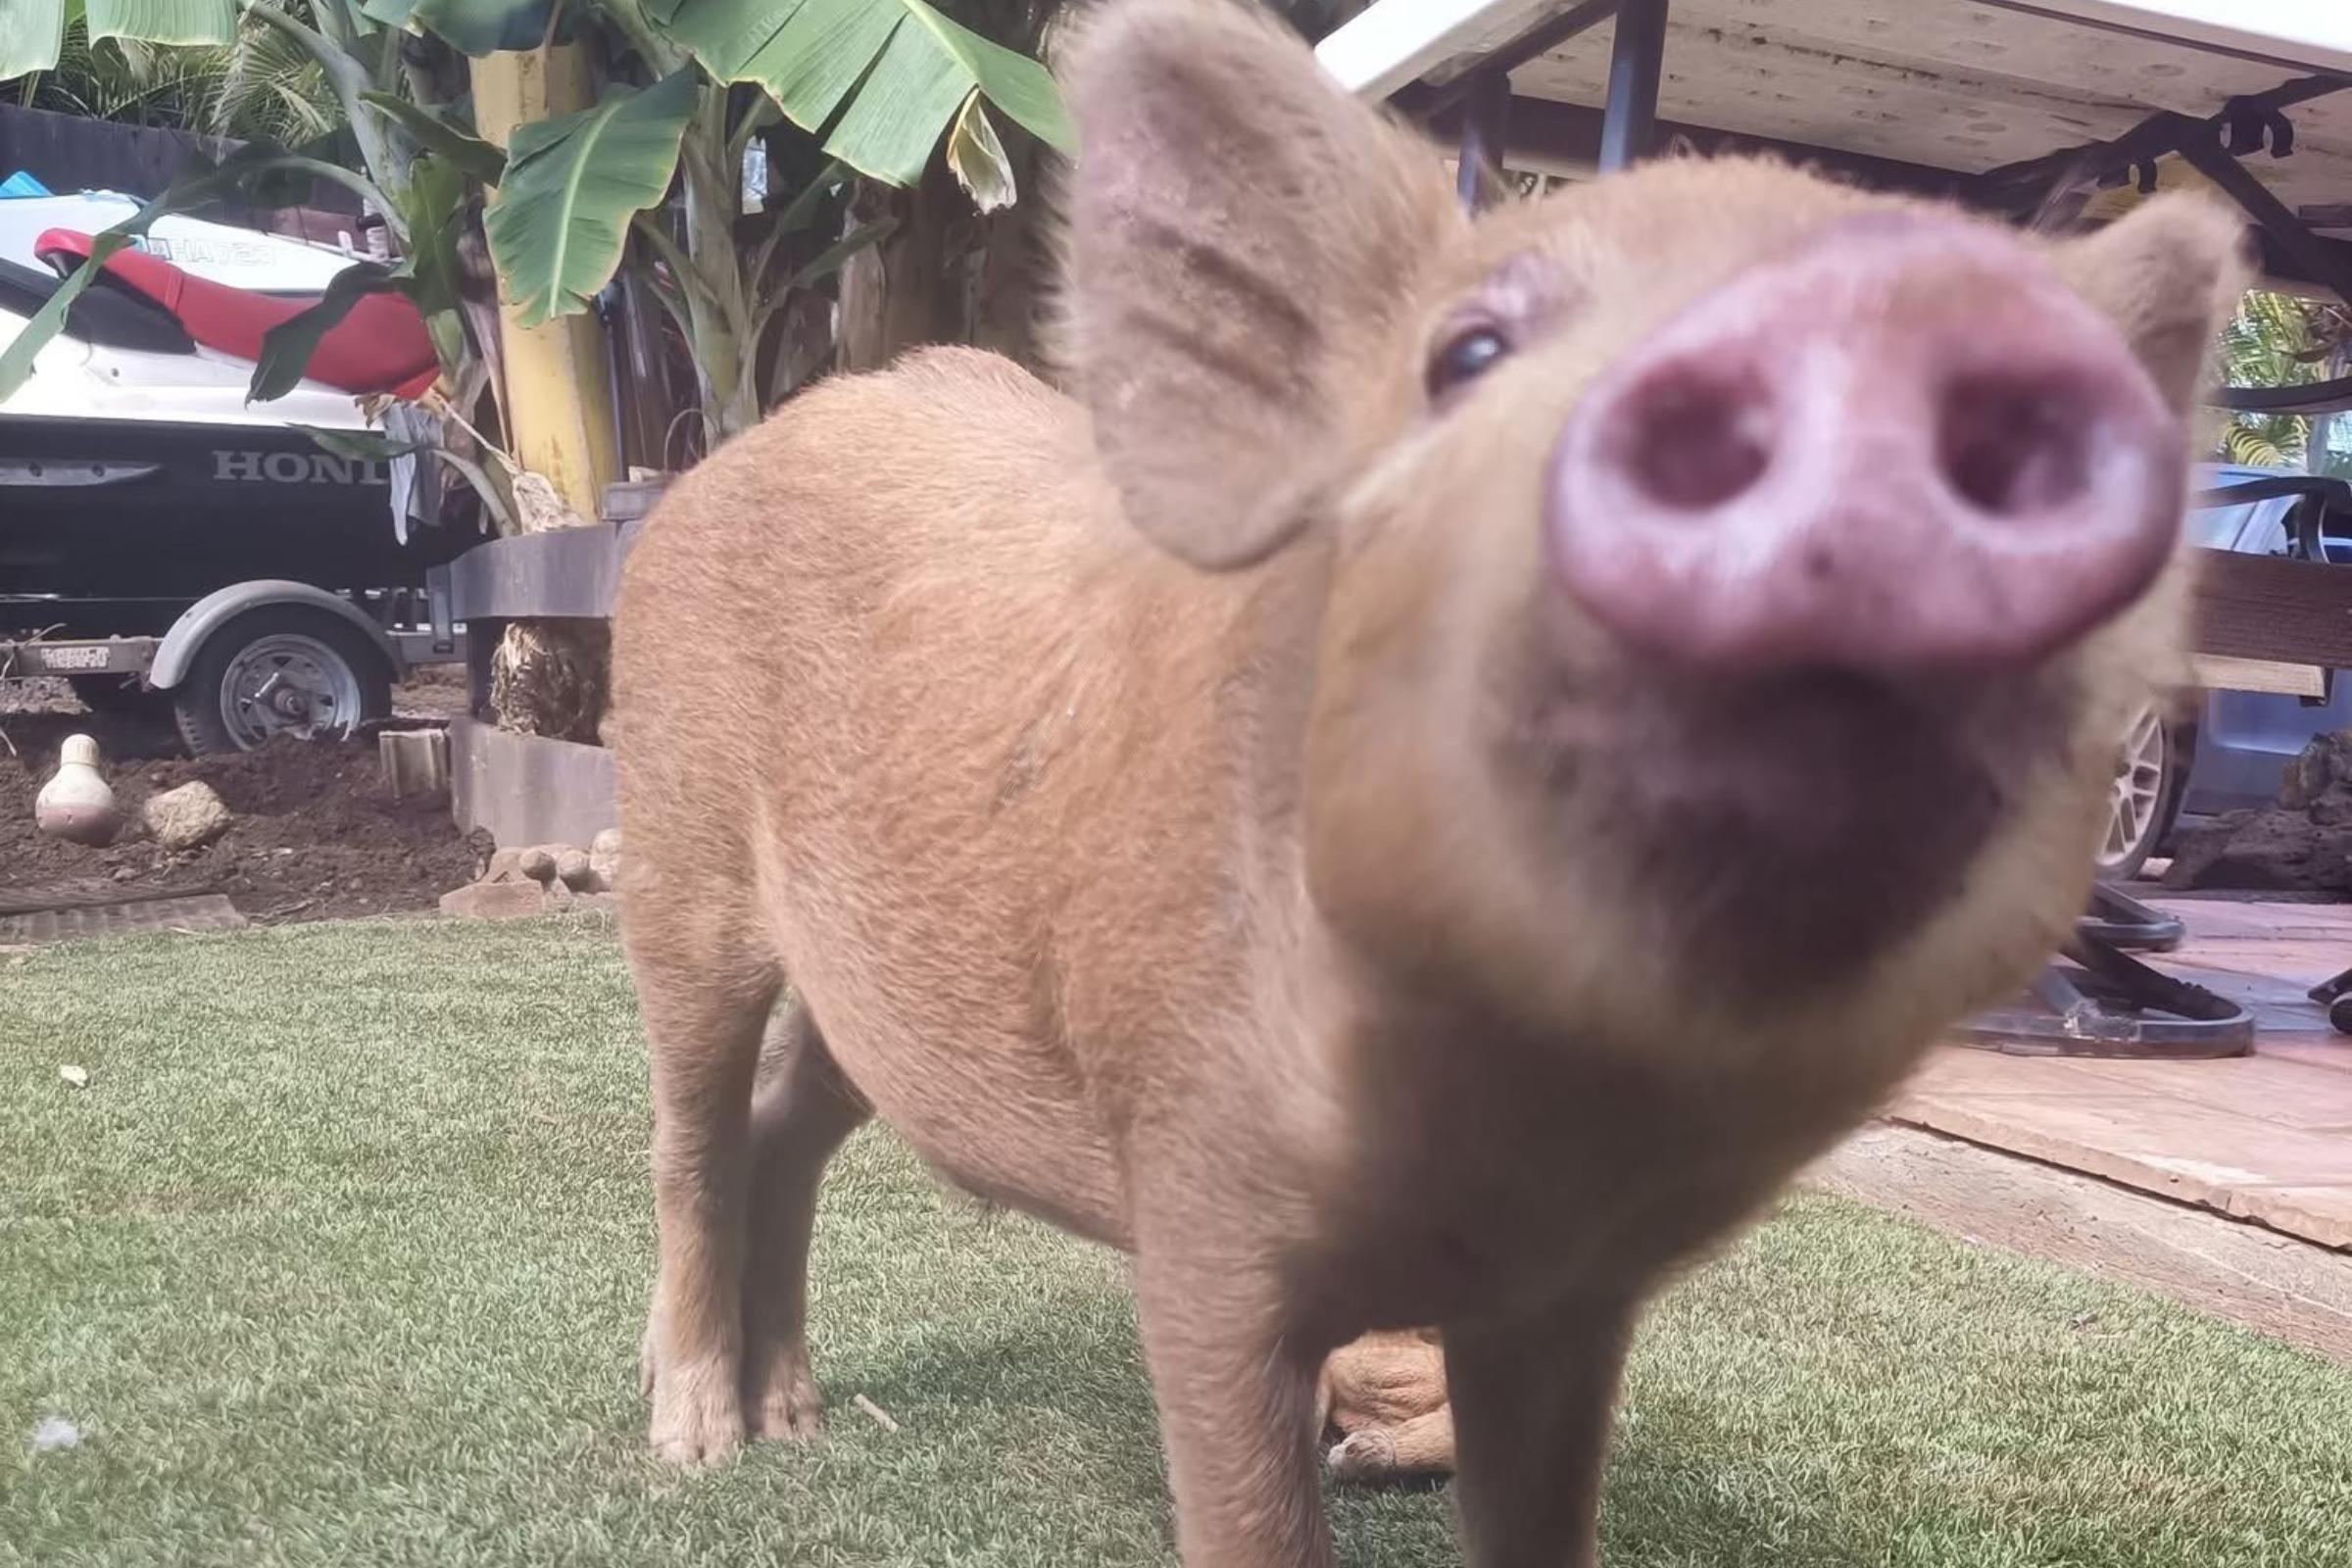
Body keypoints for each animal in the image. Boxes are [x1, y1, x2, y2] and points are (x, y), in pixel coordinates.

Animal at [610, 0, 2246, 1562]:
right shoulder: (1195, 1187)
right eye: (1467, 355)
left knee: (789, 1119)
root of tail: (708, 468)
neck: (1515, 1121)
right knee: (693, 1132)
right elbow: (1253, 1510)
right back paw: (697, 1446)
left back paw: (799, 1419)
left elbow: (1539, 1511)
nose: (1885, 311)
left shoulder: (1570, 1292)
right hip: (677, 838)